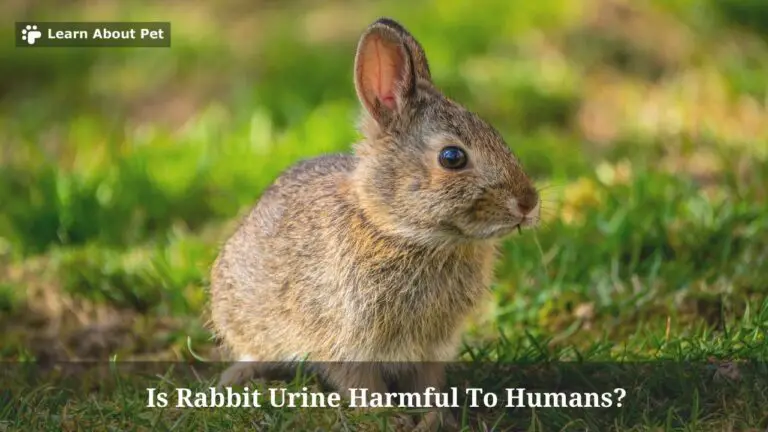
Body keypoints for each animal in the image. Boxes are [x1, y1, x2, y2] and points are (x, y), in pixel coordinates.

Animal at [209, 17, 541, 430]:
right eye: (452, 157)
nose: (529, 203)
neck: (398, 231)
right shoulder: (345, 338)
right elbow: (360, 382)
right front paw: (387, 417)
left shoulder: (430, 348)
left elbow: (427, 384)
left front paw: (436, 417)